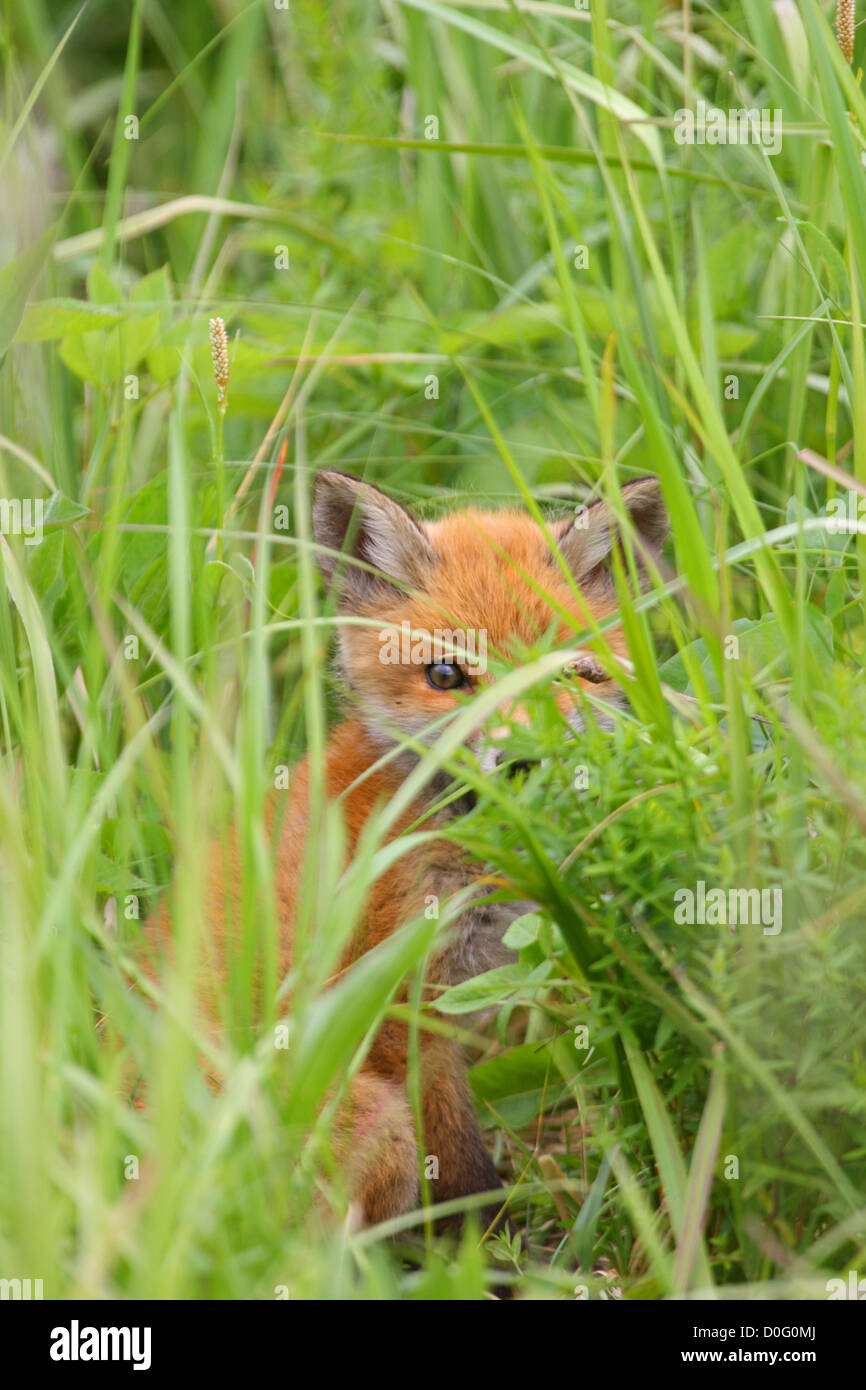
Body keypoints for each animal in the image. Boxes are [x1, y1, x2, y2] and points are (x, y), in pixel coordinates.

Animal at [143, 470, 669, 1231]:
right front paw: (486, 1242)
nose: (520, 761)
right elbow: (458, 1162)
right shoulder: (397, 1003)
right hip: (369, 1120)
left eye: (570, 676)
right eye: (446, 676)